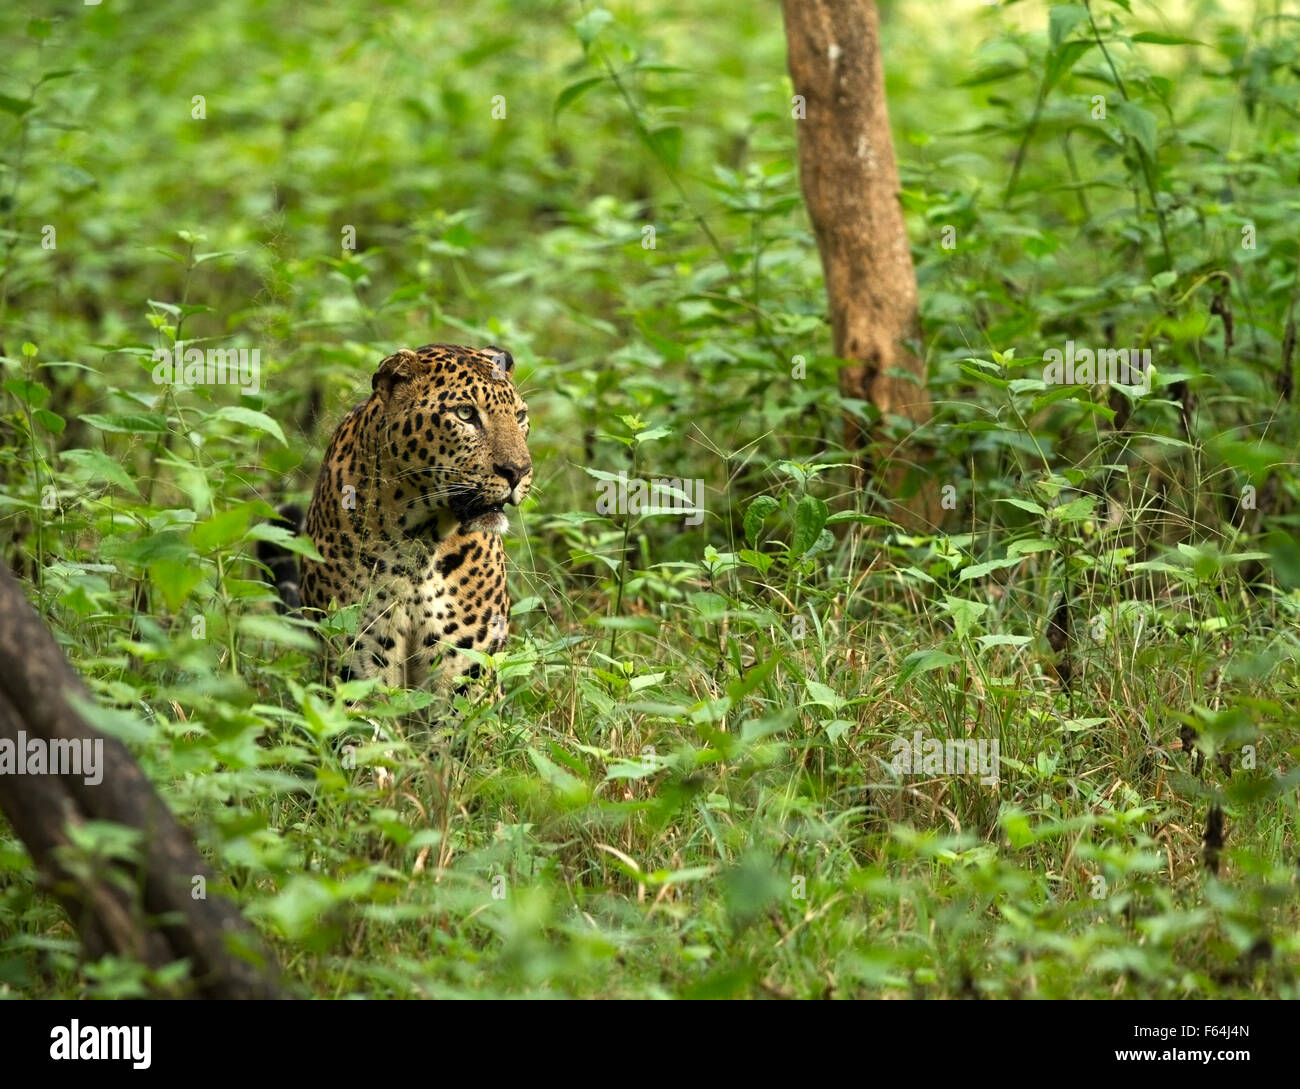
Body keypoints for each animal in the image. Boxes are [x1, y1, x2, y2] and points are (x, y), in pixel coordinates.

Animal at [260, 343, 532, 691]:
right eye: (465, 414)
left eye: (520, 417)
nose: (518, 471)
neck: (422, 540)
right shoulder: (359, 655)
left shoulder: (468, 667)